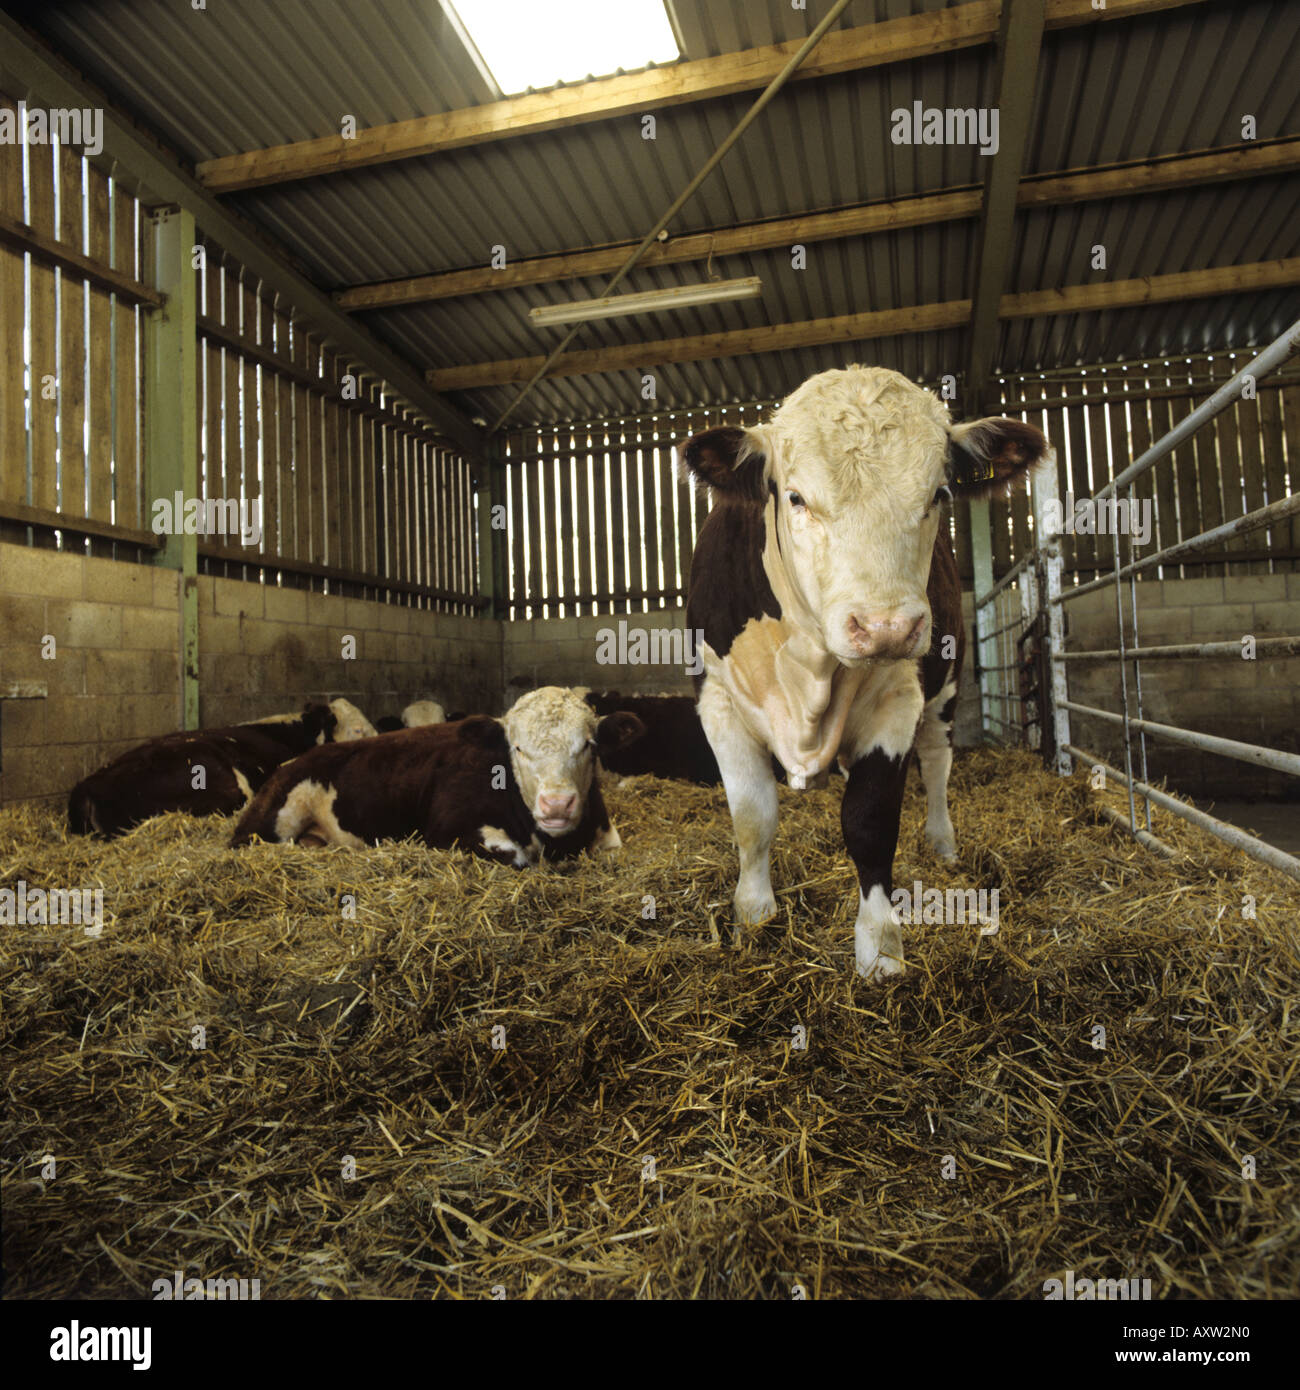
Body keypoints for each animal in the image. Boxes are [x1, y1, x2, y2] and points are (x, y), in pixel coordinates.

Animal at [231, 685, 645, 865]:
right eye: (517, 748)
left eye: (589, 745)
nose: (557, 804)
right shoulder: (448, 833)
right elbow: (514, 855)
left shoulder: (608, 838)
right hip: (272, 819)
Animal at [680, 364, 1049, 981]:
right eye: (796, 497)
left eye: (939, 493)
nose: (886, 628)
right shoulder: (717, 702)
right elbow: (753, 816)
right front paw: (752, 917)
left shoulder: (899, 699)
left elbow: (871, 821)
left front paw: (880, 946)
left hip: (944, 691)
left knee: (937, 761)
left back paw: (943, 844)